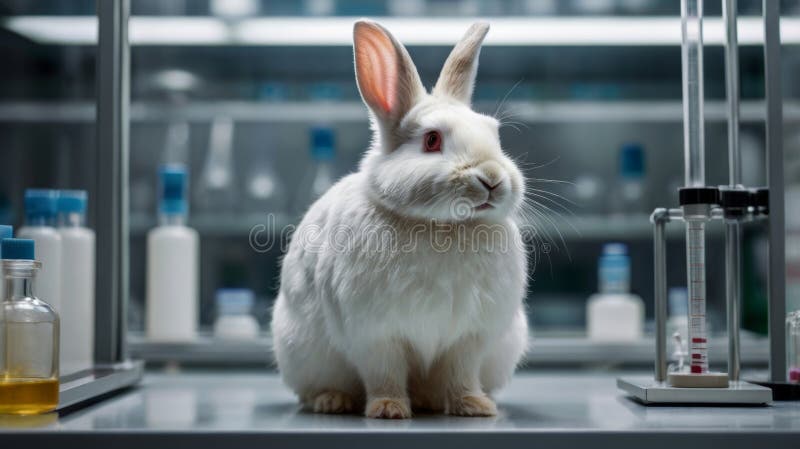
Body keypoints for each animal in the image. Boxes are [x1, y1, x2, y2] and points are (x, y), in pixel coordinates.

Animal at [271, 19, 529, 419]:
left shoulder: (469, 339)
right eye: (432, 140)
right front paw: (389, 409)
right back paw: (333, 401)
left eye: (494, 134)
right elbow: (385, 374)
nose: (492, 179)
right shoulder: (376, 336)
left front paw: (474, 406)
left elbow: (461, 374)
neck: (441, 227)